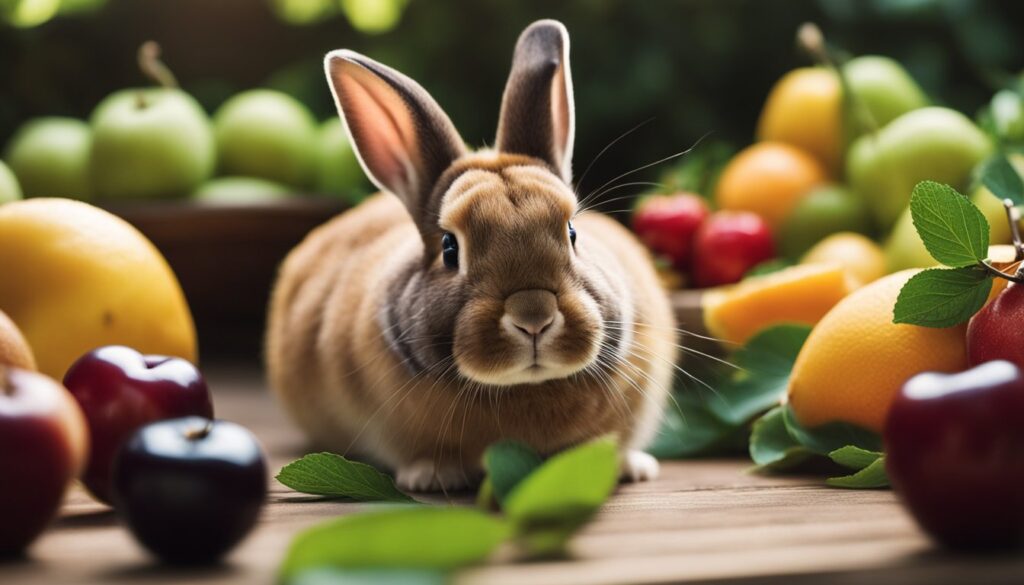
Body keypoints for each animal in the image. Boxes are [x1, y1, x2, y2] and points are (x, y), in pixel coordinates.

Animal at [266, 19, 678, 492]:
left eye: (573, 232)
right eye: (449, 248)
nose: (533, 316)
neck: (527, 388)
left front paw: (629, 465)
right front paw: (431, 476)